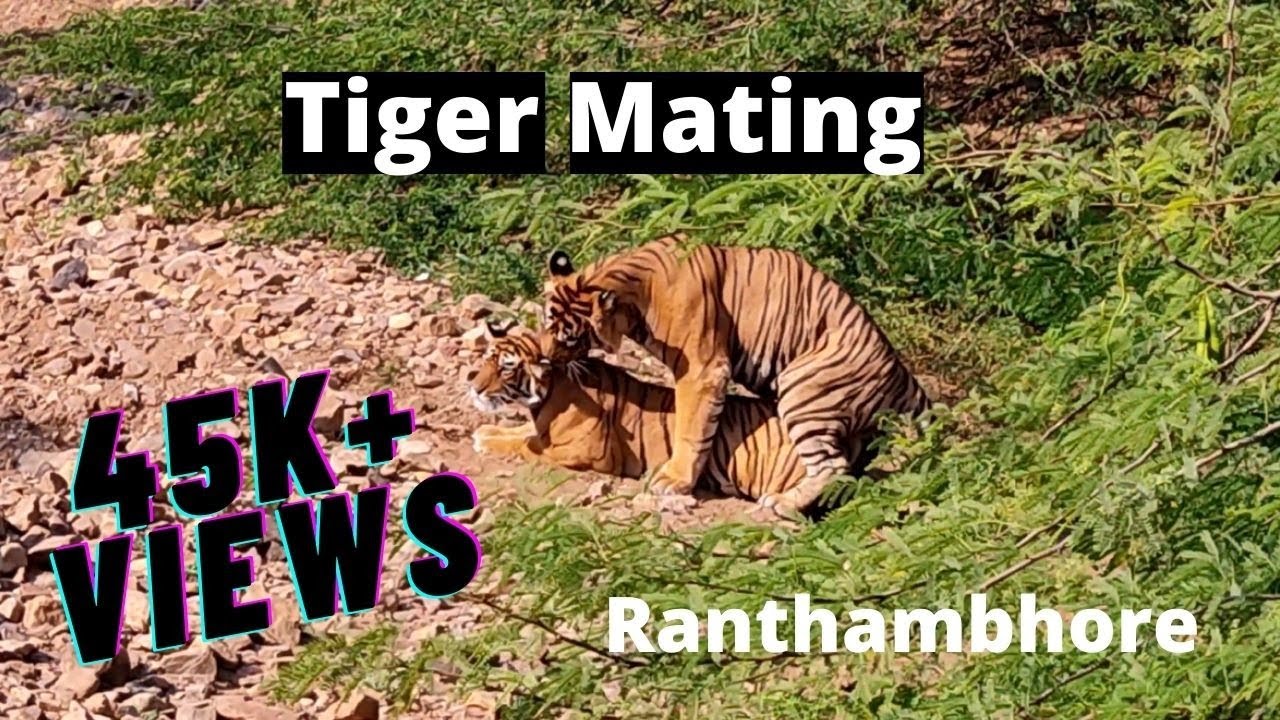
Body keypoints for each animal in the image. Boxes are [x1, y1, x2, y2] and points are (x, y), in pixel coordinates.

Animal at [466, 321, 821, 503]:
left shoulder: (586, 451)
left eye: (506, 367)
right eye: (485, 358)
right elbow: (522, 431)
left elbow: (526, 445)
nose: (475, 387)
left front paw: (488, 441)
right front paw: (486, 431)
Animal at [542, 235, 930, 515]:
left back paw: (783, 502)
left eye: (571, 338)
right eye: (546, 323)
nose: (544, 358)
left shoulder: (701, 369)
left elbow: (691, 429)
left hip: (802, 390)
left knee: (832, 466)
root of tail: (902, 374)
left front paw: (673, 479)